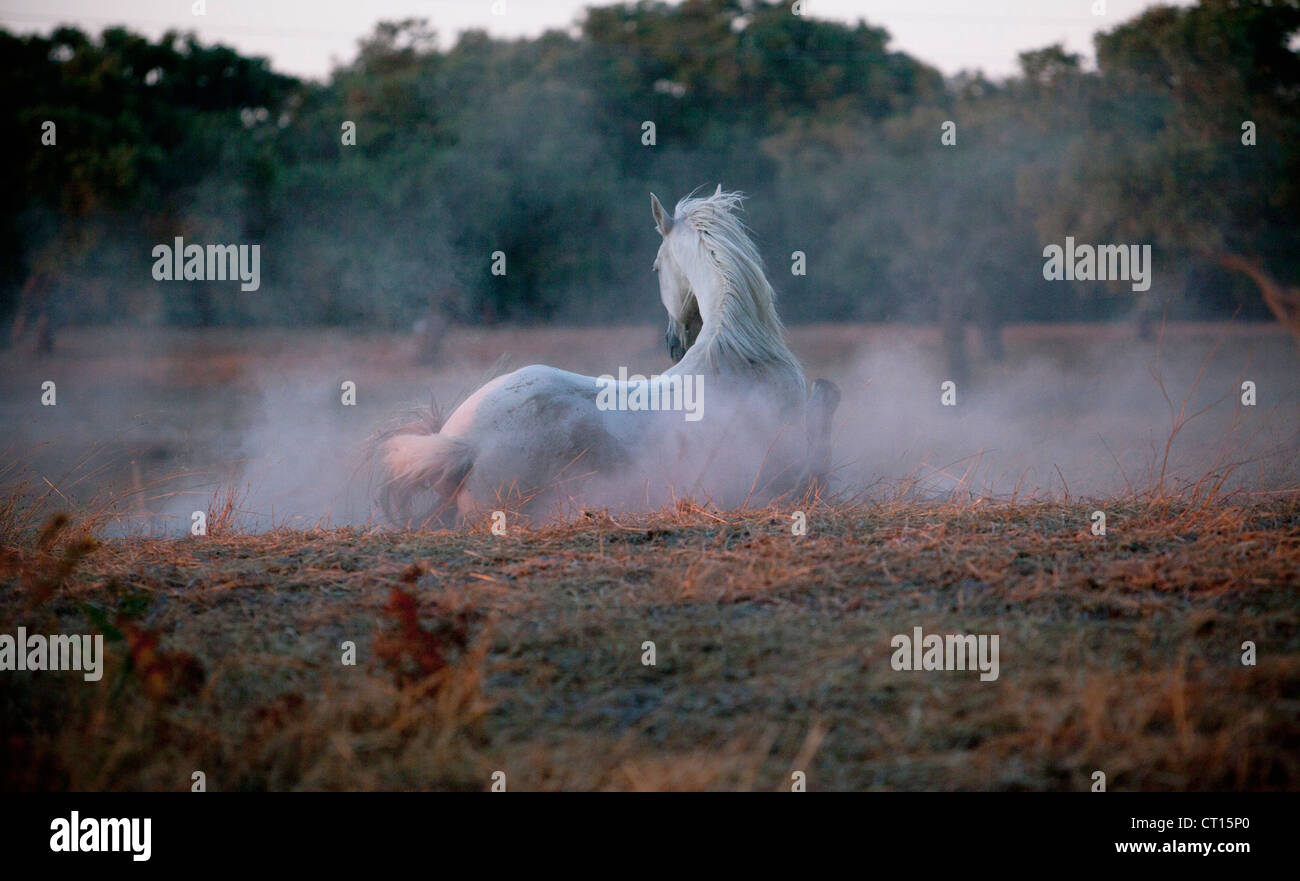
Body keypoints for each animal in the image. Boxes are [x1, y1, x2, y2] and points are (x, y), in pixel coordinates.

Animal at [379, 186, 839, 524]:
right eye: (657, 267)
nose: (674, 343)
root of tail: (464, 445)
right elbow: (825, 412)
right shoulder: (790, 469)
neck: (738, 357)